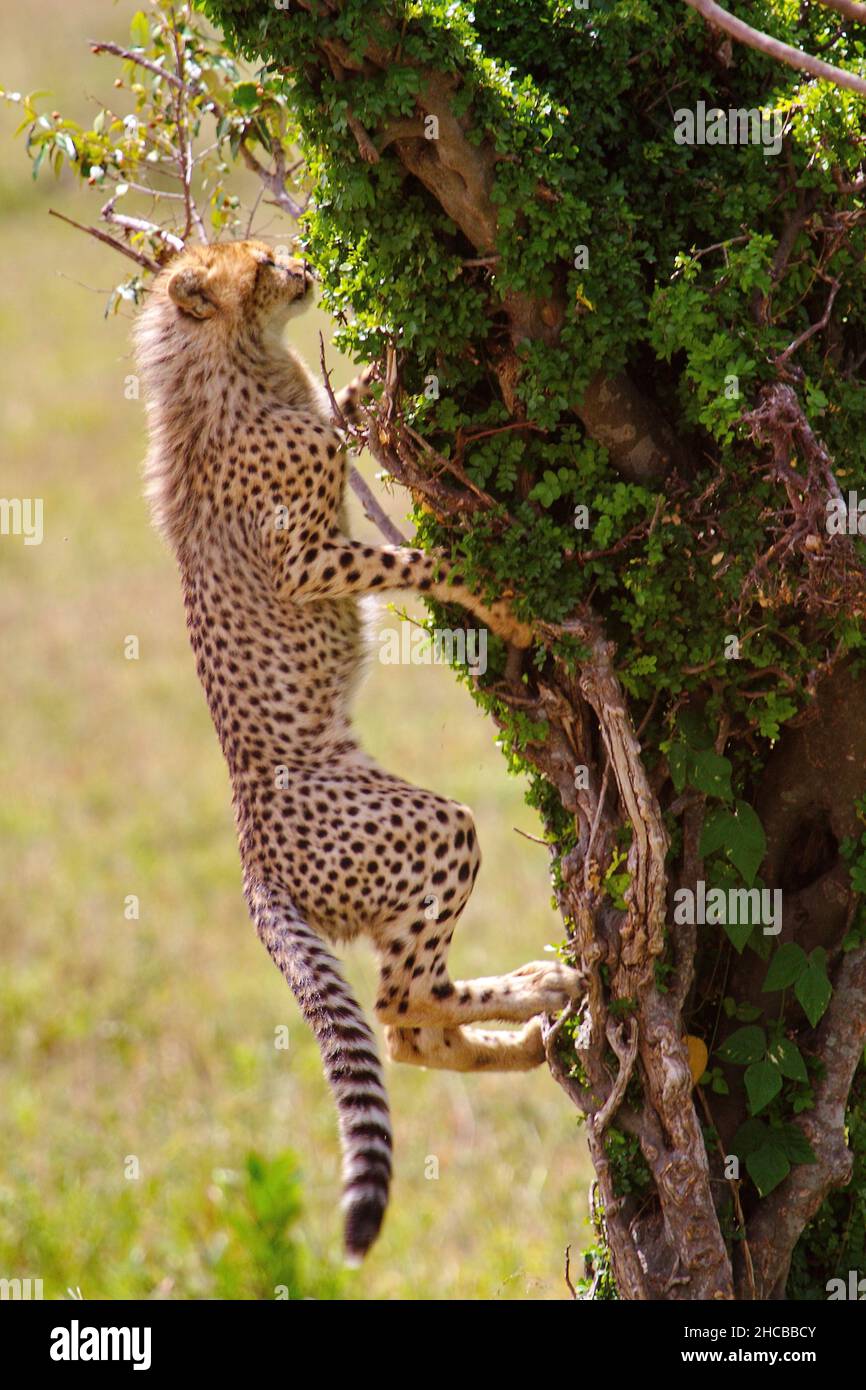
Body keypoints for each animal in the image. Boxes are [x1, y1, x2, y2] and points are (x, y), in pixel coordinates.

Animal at [133, 239, 582, 1264]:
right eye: (259, 265)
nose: (300, 266)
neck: (239, 361)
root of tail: (253, 861)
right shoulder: (304, 558)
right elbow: (416, 560)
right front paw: (497, 590)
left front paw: (373, 381)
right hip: (429, 830)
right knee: (399, 1008)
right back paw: (533, 996)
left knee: (413, 1032)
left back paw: (532, 1014)